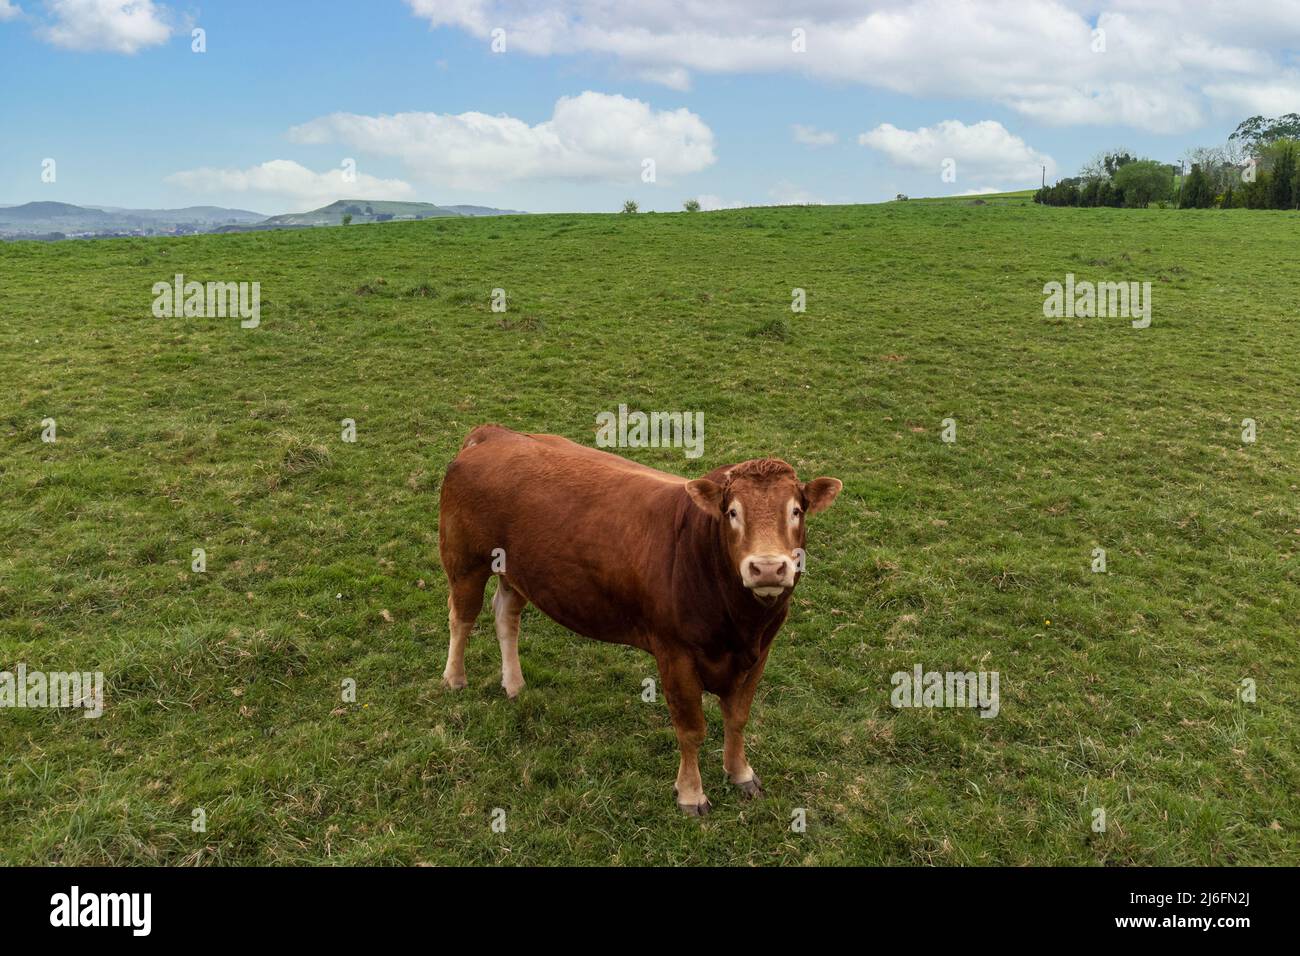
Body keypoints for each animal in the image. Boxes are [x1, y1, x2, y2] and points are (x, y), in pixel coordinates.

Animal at [437, 424, 842, 815]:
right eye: (732, 512)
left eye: (796, 510)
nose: (769, 568)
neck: (741, 625)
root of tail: (495, 434)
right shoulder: (675, 653)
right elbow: (691, 729)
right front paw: (691, 794)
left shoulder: (759, 653)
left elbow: (738, 717)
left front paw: (740, 772)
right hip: (464, 559)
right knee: (461, 616)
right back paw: (455, 677)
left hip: (516, 570)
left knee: (506, 615)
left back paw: (514, 684)